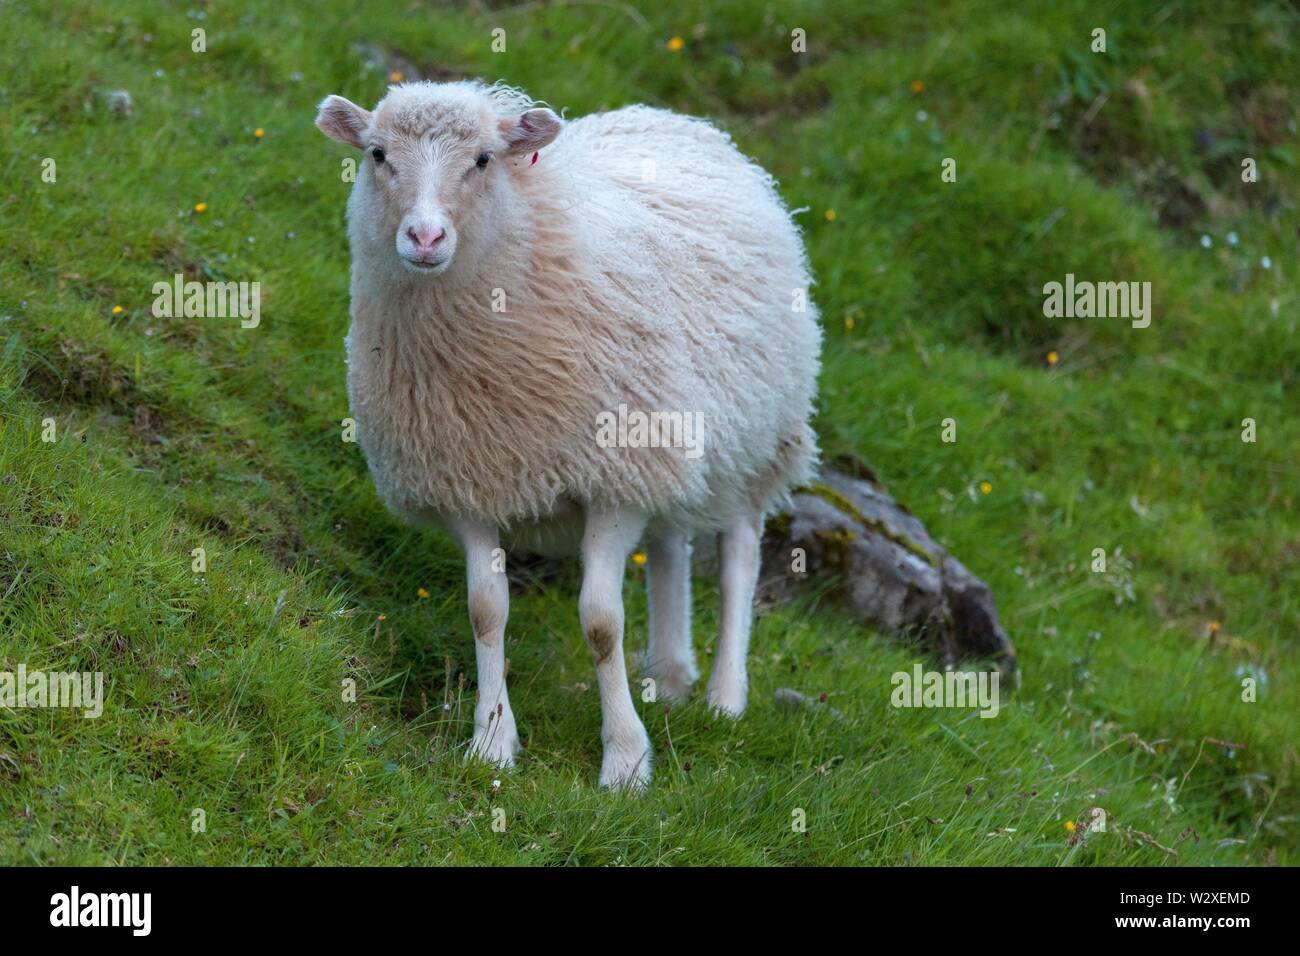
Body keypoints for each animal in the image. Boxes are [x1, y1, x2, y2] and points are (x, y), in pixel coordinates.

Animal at [315, 80, 822, 790]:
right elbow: (486, 611)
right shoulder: (469, 481)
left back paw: (725, 697)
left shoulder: (612, 482)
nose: (425, 235)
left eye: (483, 160)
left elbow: (601, 622)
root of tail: (672, 119)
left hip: (757, 443)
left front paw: (626, 762)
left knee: (739, 558)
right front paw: (492, 742)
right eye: (378, 154)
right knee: (671, 546)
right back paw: (671, 679)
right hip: (670, 445)